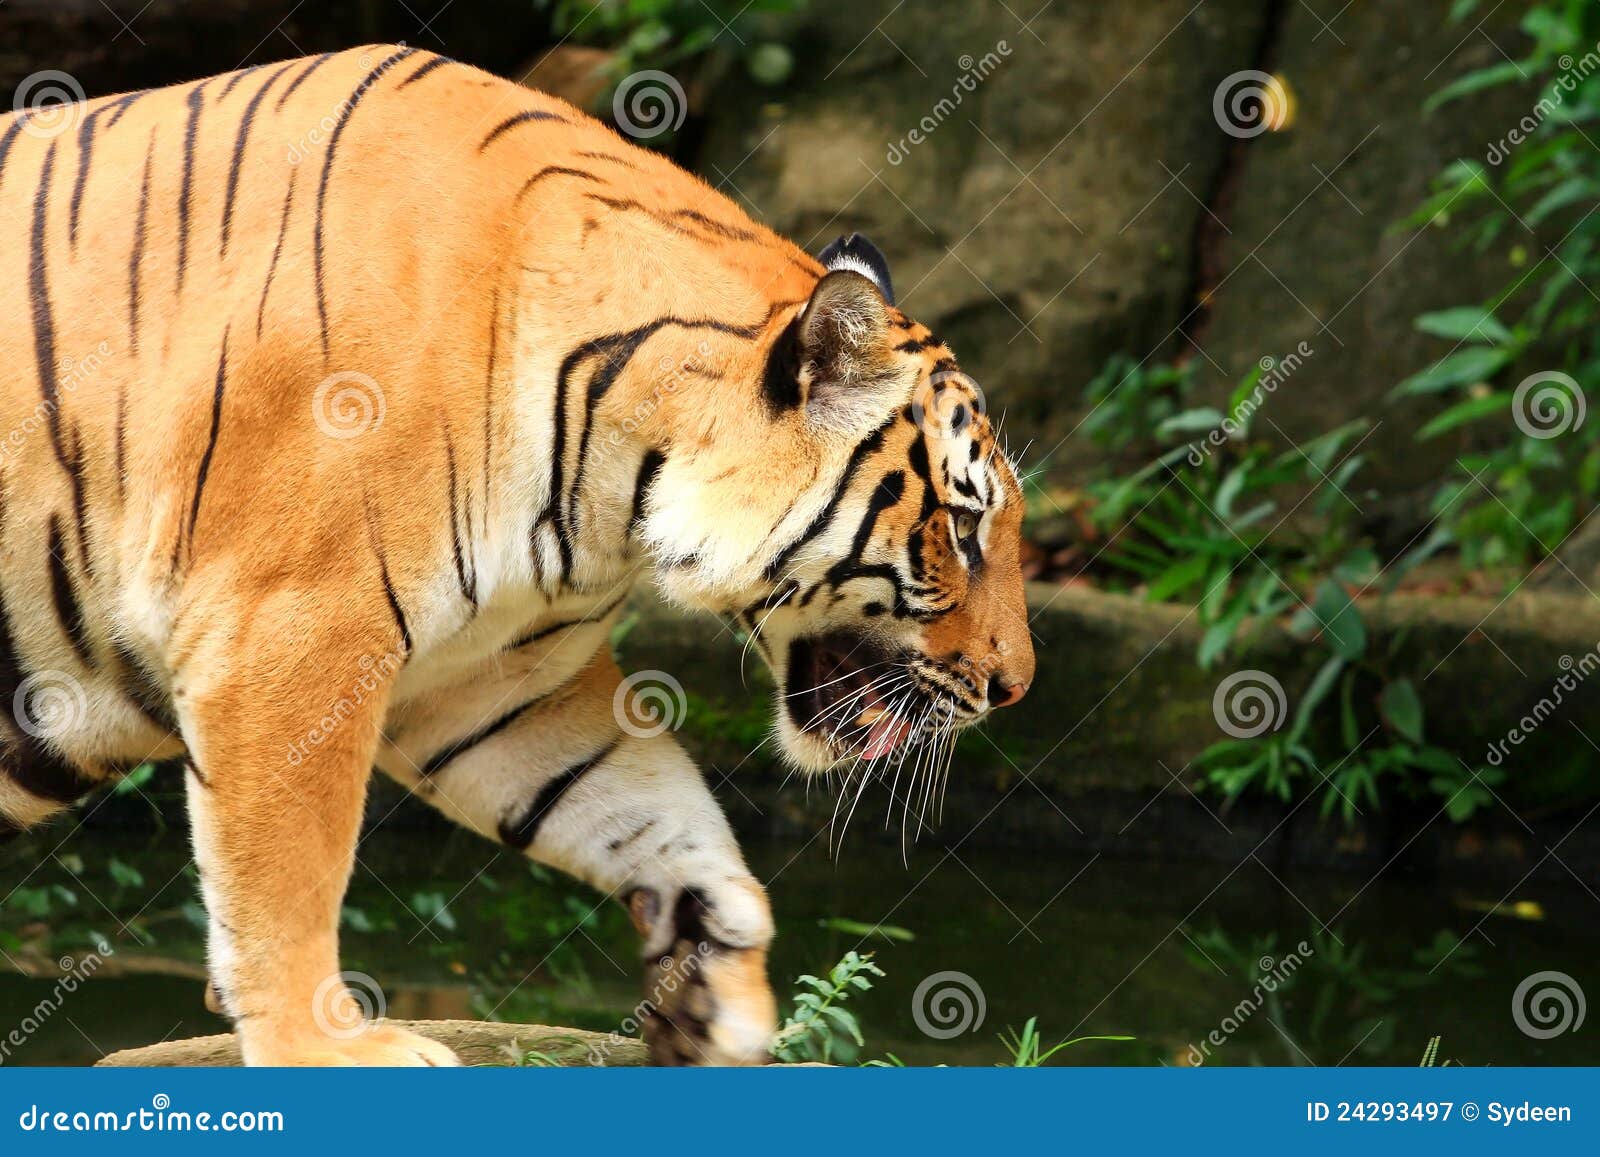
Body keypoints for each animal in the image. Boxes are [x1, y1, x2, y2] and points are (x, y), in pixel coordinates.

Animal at [0, 46, 1034, 1066]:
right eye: (965, 527)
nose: (1015, 686)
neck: (615, 484)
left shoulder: (499, 683)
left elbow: (655, 808)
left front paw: (716, 983)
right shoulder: (285, 632)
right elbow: (287, 867)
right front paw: (326, 1045)